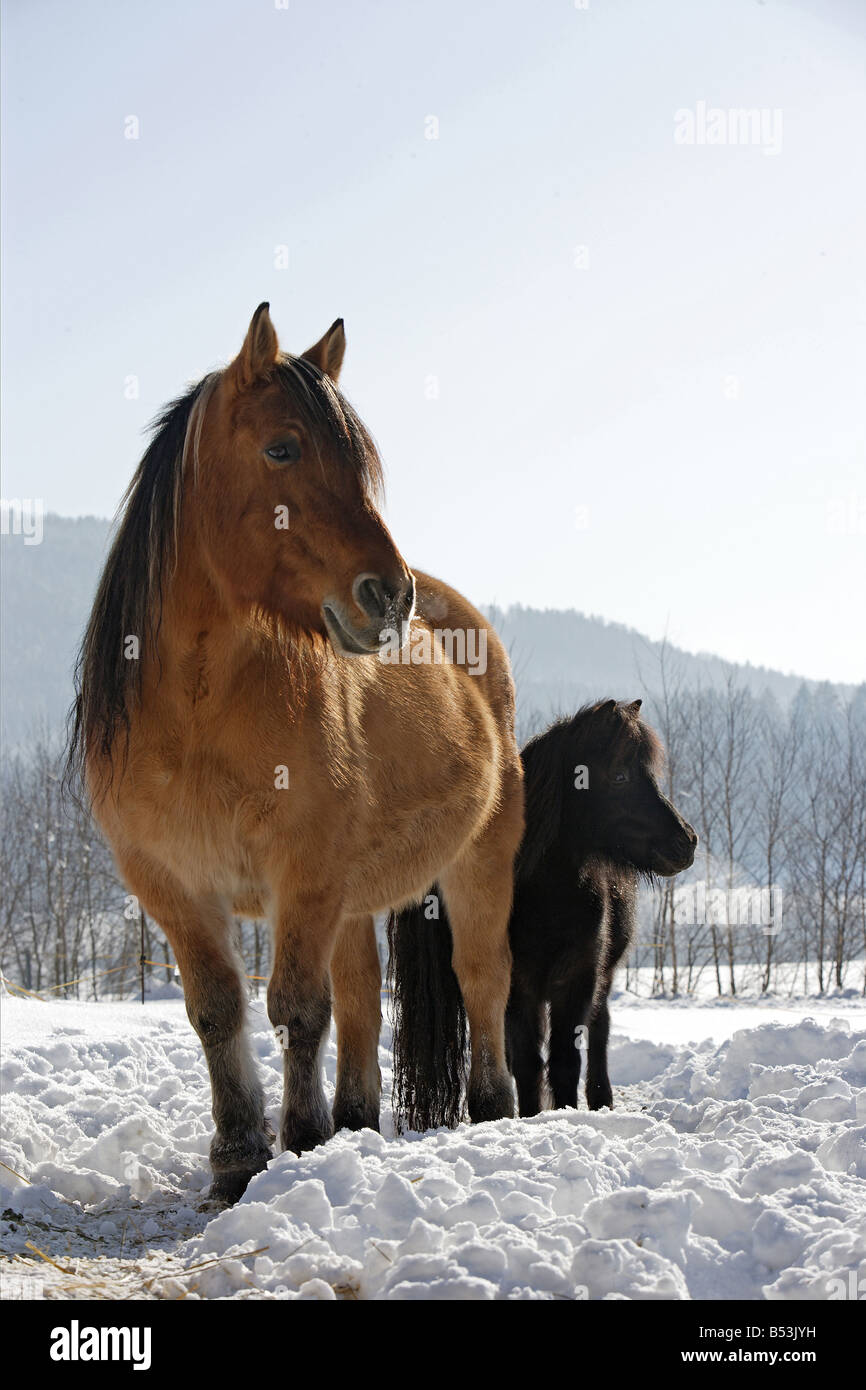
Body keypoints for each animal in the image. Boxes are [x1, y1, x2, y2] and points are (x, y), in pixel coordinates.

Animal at [67, 304, 523, 1203]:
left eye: (360, 460)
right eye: (282, 448)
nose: (389, 595)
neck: (202, 709)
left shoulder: (302, 873)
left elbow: (297, 1011)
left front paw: (297, 1139)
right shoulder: (171, 882)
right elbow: (219, 1011)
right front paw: (238, 1157)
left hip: (476, 867)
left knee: (481, 980)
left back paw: (486, 1112)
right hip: (349, 898)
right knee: (363, 998)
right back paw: (353, 1123)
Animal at [388, 698, 696, 1130]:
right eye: (620, 775)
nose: (686, 842)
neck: (544, 896)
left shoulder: (579, 979)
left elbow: (567, 1059)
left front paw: (565, 1111)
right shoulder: (519, 985)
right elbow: (527, 1062)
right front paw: (531, 1114)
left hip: (602, 977)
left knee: (600, 1029)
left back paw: (600, 1099)